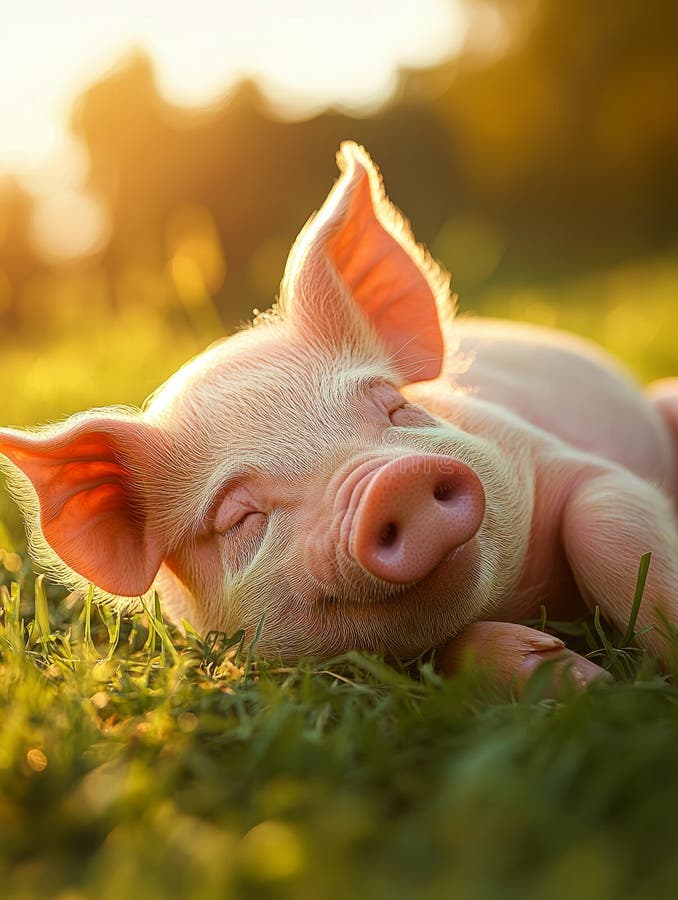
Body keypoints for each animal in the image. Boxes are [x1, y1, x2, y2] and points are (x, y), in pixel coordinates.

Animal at [1, 141, 677, 689]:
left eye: (396, 407)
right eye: (240, 520)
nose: (394, 481)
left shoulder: (548, 456)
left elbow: (609, 522)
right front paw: (576, 679)